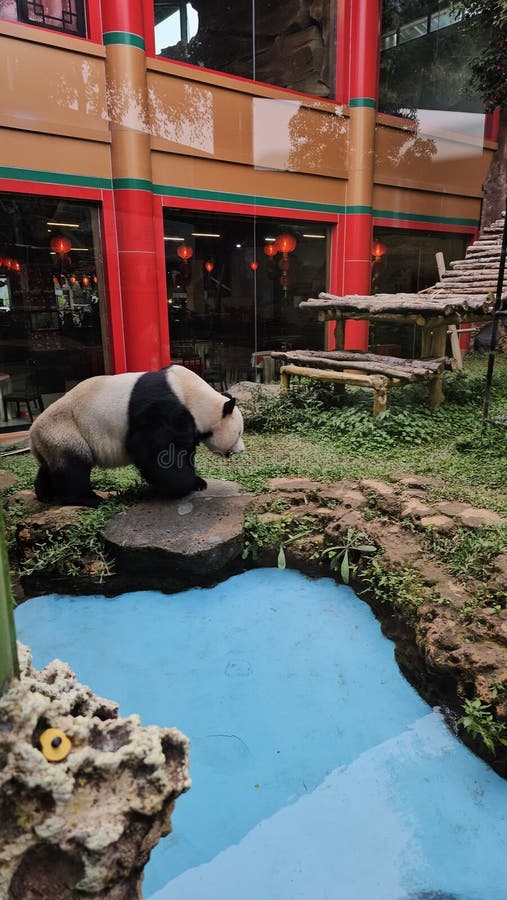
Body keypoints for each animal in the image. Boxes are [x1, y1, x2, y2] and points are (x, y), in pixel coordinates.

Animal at [29, 365, 245, 508]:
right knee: (74, 467)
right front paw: (183, 486)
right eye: (239, 433)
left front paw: (198, 481)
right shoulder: (163, 409)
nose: (241, 450)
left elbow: (183, 450)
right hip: (67, 429)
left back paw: (45, 494)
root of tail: (32, 435)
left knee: (51, 466)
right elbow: (154, 450)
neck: (190, 393)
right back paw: (87, 499)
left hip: (53, 439)